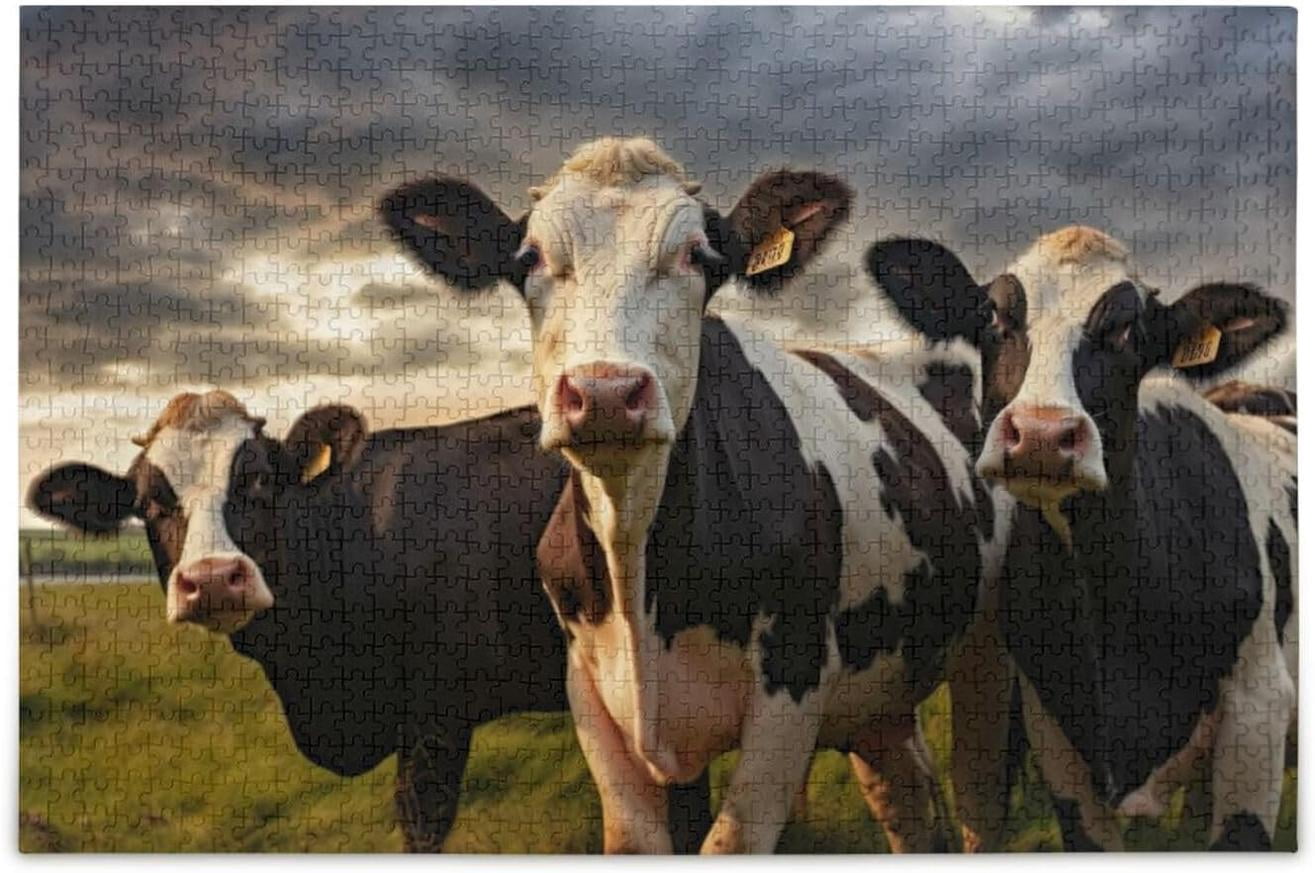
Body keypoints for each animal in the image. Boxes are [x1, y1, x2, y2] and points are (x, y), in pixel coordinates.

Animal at [380, 137, 1010, 853]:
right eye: (529, 258)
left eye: (697, 257)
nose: (604, 392)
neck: (636, 568)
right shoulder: (590, 696)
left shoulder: (792, 682)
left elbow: (731, 840)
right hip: (880, 693)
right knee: (903, 798)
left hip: (989, 653)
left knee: (980, 797)